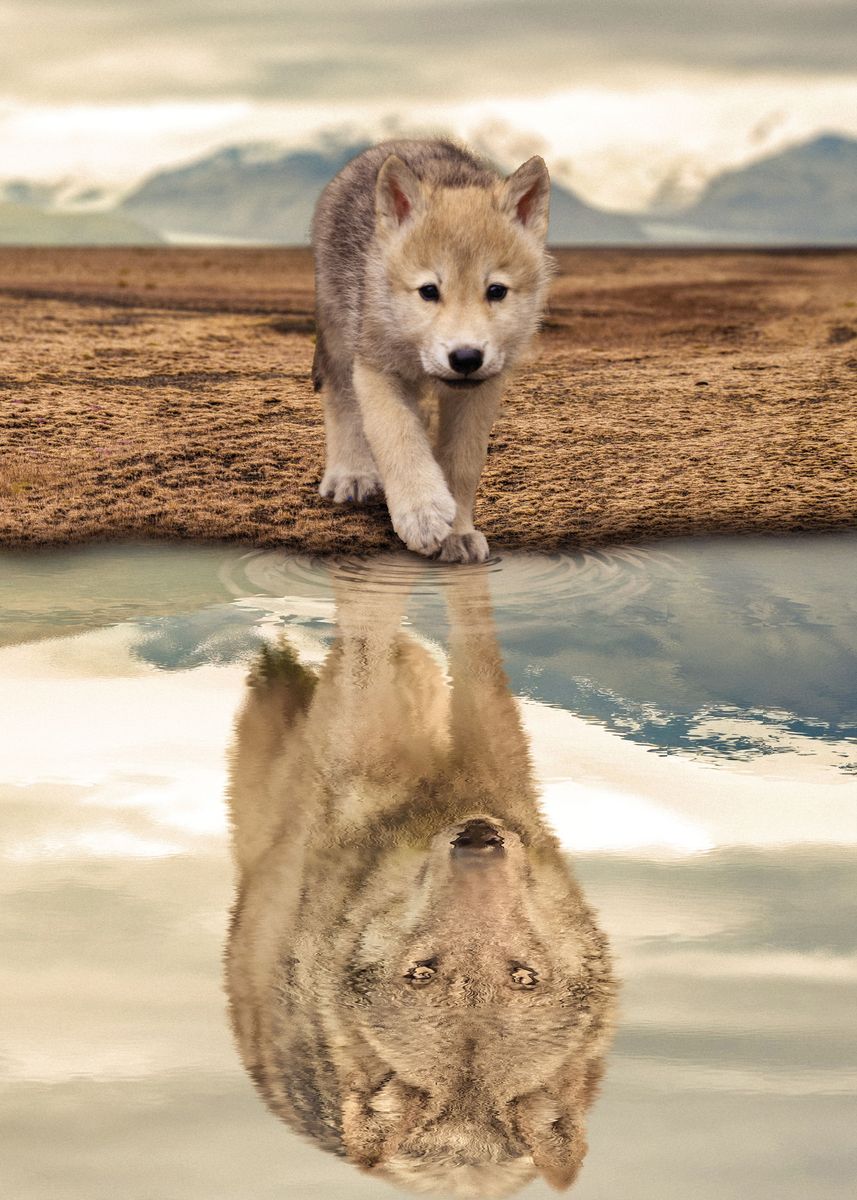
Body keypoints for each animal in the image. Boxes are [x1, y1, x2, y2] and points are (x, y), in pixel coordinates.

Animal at [311, 139, 554, 563]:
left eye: (496, 291)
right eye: (429, 291)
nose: (466, 358)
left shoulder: (481, 390)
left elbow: (462, 464)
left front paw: (458, 533)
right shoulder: (374, 367)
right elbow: (397, 435)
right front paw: (421, 512)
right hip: (339, 337)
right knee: (341, 400)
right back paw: (351, 473)